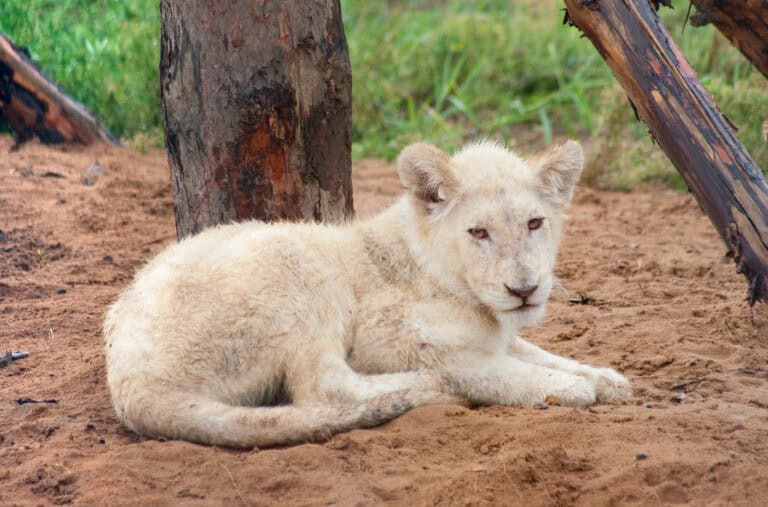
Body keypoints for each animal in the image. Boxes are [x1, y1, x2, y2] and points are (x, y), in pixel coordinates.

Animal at [104, 139, 631, 448]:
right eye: (478, 232)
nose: (524, 289)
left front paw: (607, 378)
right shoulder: (392, 340)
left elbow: (541, 353)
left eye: (535, 223)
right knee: (325, 389)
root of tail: (129, 383)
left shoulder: (497, 335)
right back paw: (428, 388)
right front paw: (569, 390)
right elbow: (500, 372)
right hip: (296, 263)